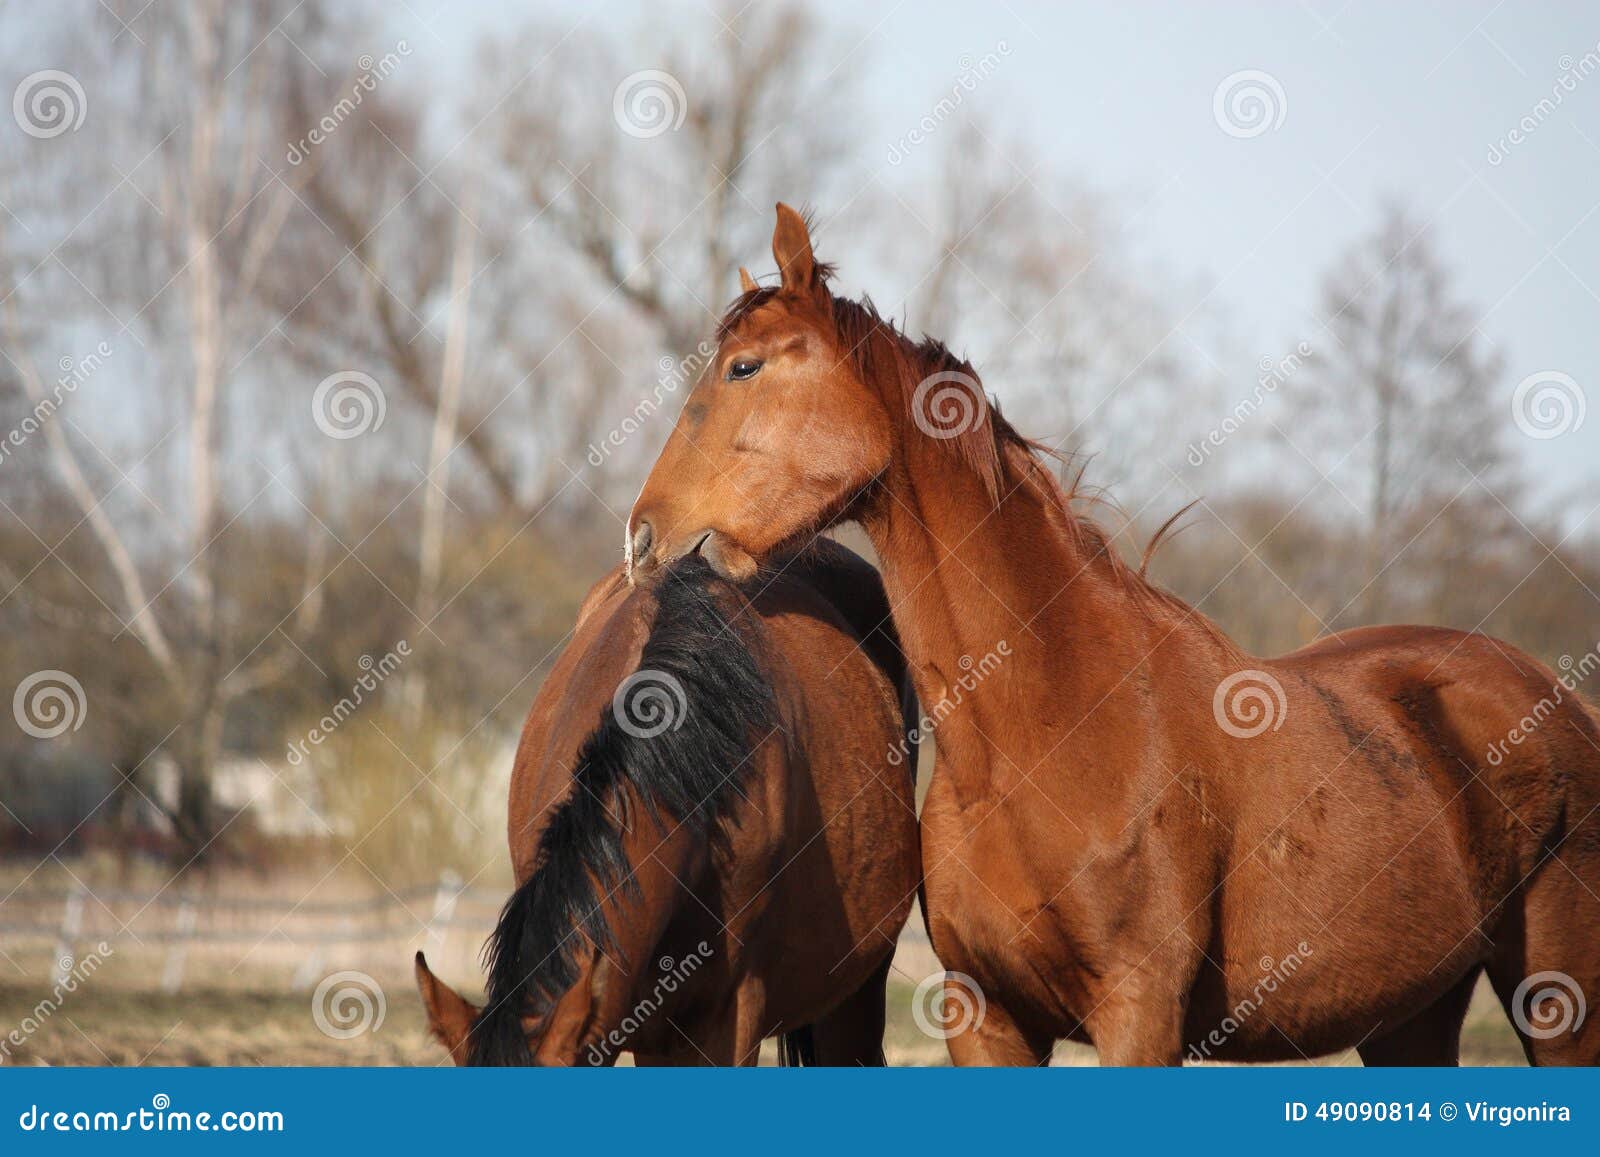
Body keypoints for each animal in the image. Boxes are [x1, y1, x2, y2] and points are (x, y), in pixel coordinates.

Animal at [623, 203, 1600, 1067]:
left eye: (744, 368)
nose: (642, 537)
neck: (1050, 728)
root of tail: (1559, 702)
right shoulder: (988, 1014)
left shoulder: (1141, 1014)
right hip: (1410, 1014)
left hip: (1557, 1001)